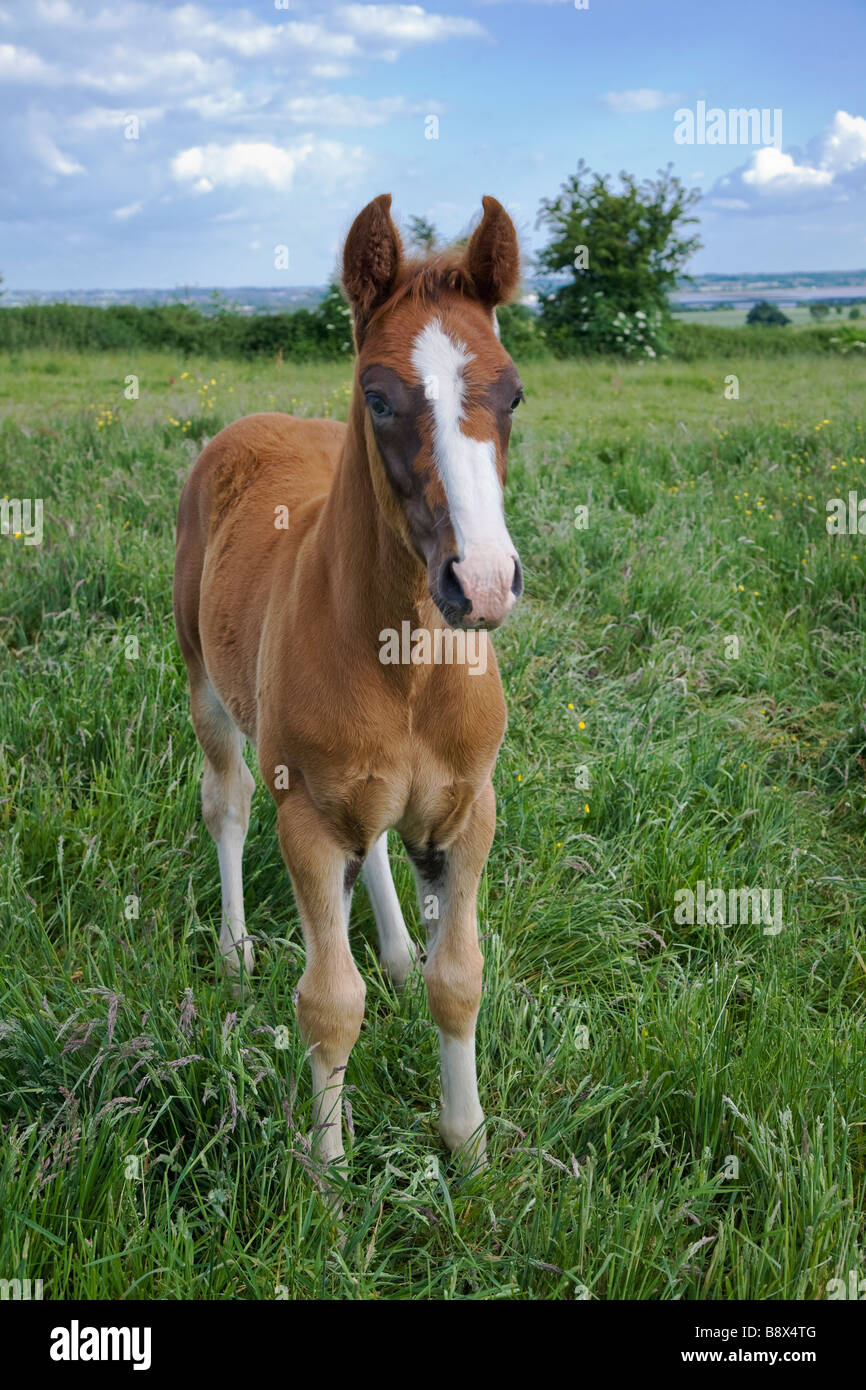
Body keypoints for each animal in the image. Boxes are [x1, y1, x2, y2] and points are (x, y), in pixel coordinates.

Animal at [173, 193, 524, 1167]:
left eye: (514, 393)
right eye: (378, 395)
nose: (482, 582)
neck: (406, 665)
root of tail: (251, 421)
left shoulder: (467, 809)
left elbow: (460, 978)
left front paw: (468, 1145)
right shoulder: (307, 819)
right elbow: (328, 1002)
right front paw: (326, 1170)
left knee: (374, 856)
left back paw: (397, 952)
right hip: (206, 685)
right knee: (226, 800)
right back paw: (235, 949)